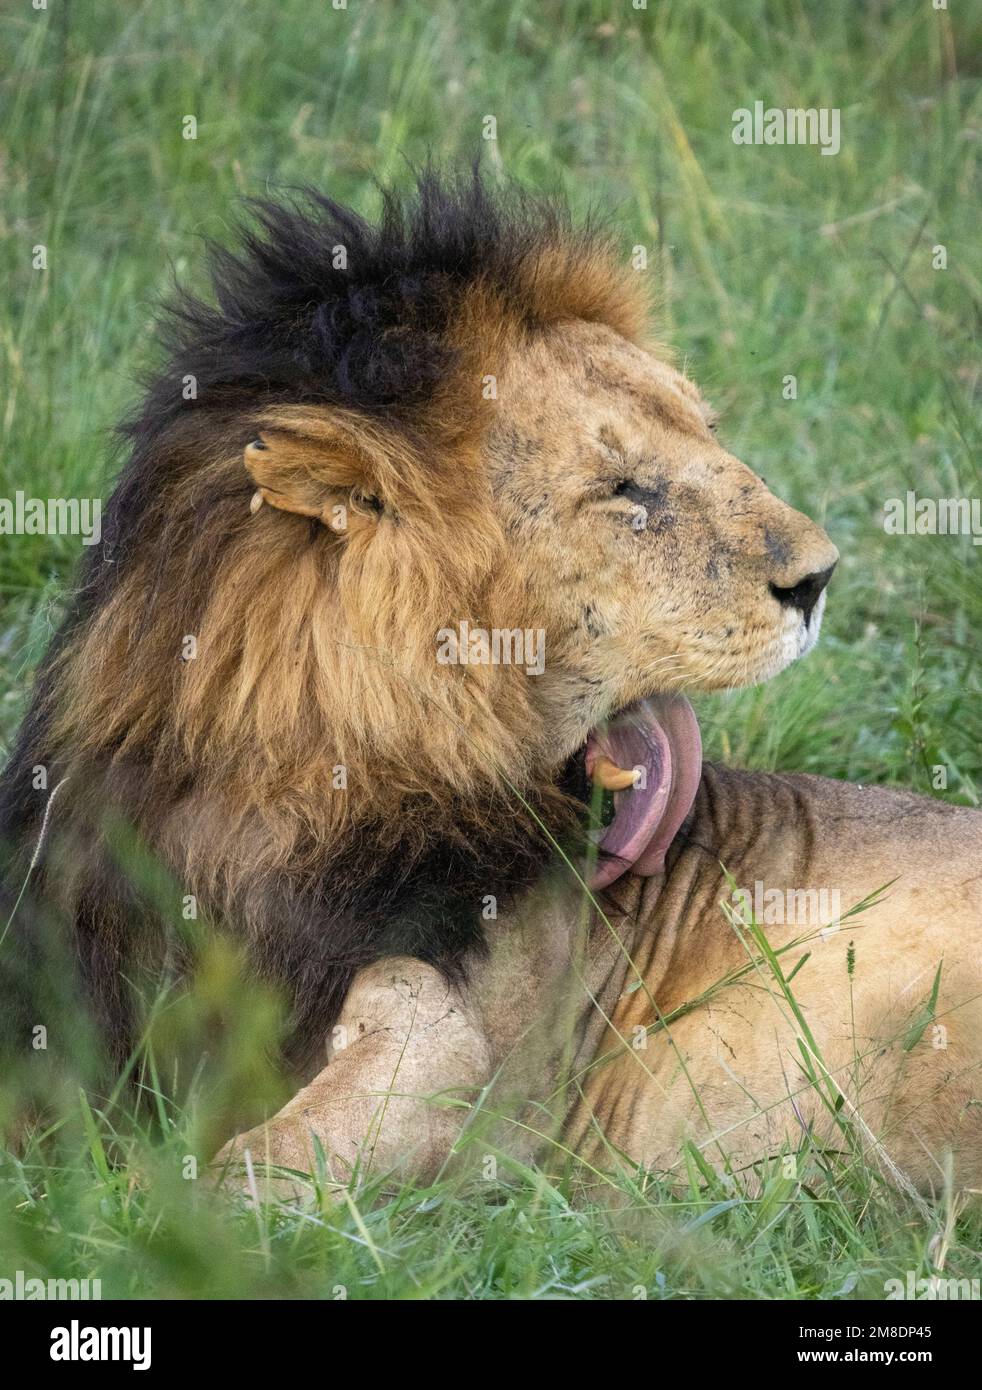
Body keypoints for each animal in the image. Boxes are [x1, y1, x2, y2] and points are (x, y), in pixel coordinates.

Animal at [2, 172, 980, 1196]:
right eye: (624, 489)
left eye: (711, 434)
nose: (821, 577)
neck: (281, 798)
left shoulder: (454, 1048)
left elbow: (254, 1163)